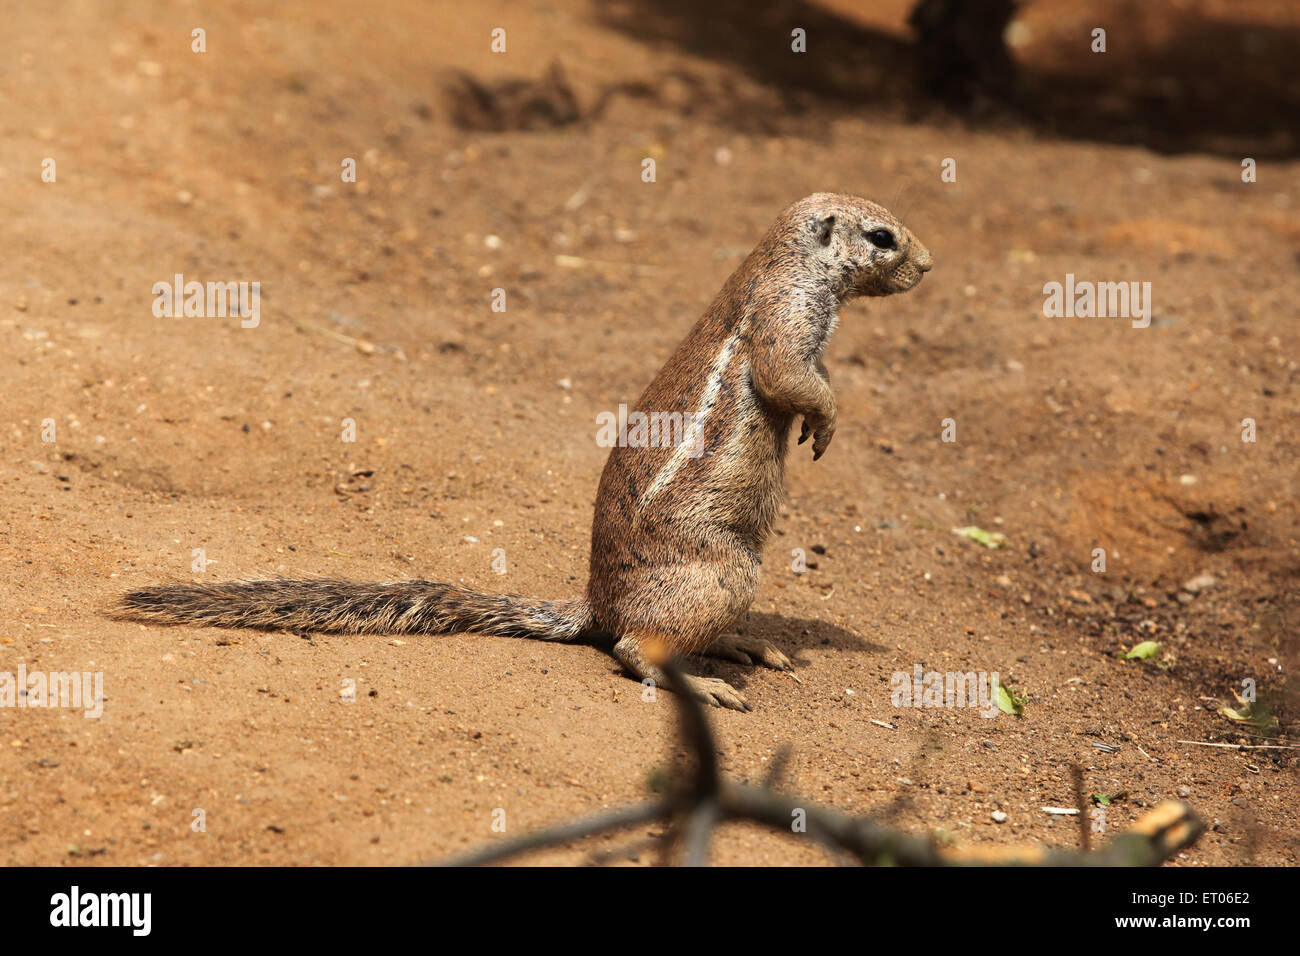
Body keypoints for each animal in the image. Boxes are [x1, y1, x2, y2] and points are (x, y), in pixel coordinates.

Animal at [115, 193, 932, 710]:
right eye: (882, 237)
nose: (929, 264)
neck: (786, 262)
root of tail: (597, 602)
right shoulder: (785, 320)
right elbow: (793, 377)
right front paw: (825, 425)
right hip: (721, 570)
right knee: (633, 650)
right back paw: (705, 682)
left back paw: (741, 647)